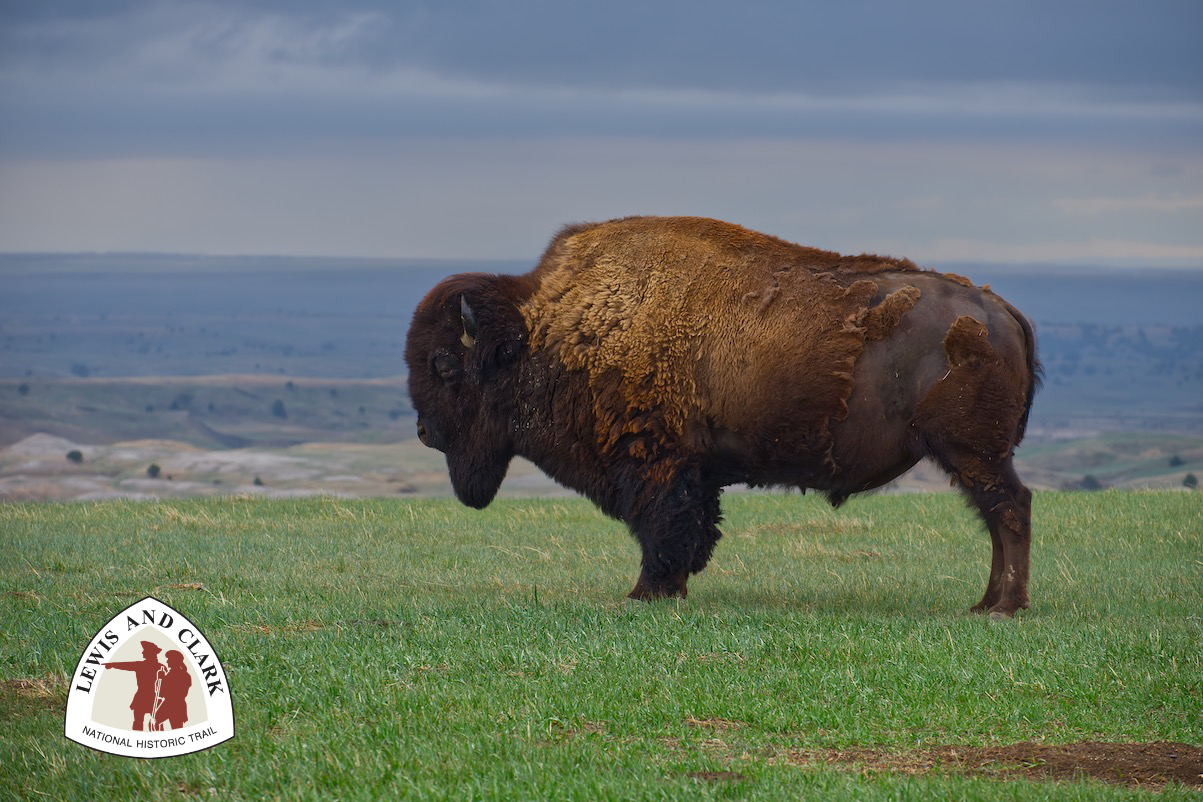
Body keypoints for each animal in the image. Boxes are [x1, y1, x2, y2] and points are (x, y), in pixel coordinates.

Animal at [405, 216, 1039, 616]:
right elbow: (693, 530)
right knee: (998, 516)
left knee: (1009, 510)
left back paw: (1001, 607)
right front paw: (670, 588)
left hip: (972, 452)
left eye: (444, 364)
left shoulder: (655, 465)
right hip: (972, 455)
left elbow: (663, 530)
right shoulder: (695, 472)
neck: (547, 332)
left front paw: (646, 593)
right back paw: (986, 602)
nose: (424, 432)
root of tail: (1002, 310)